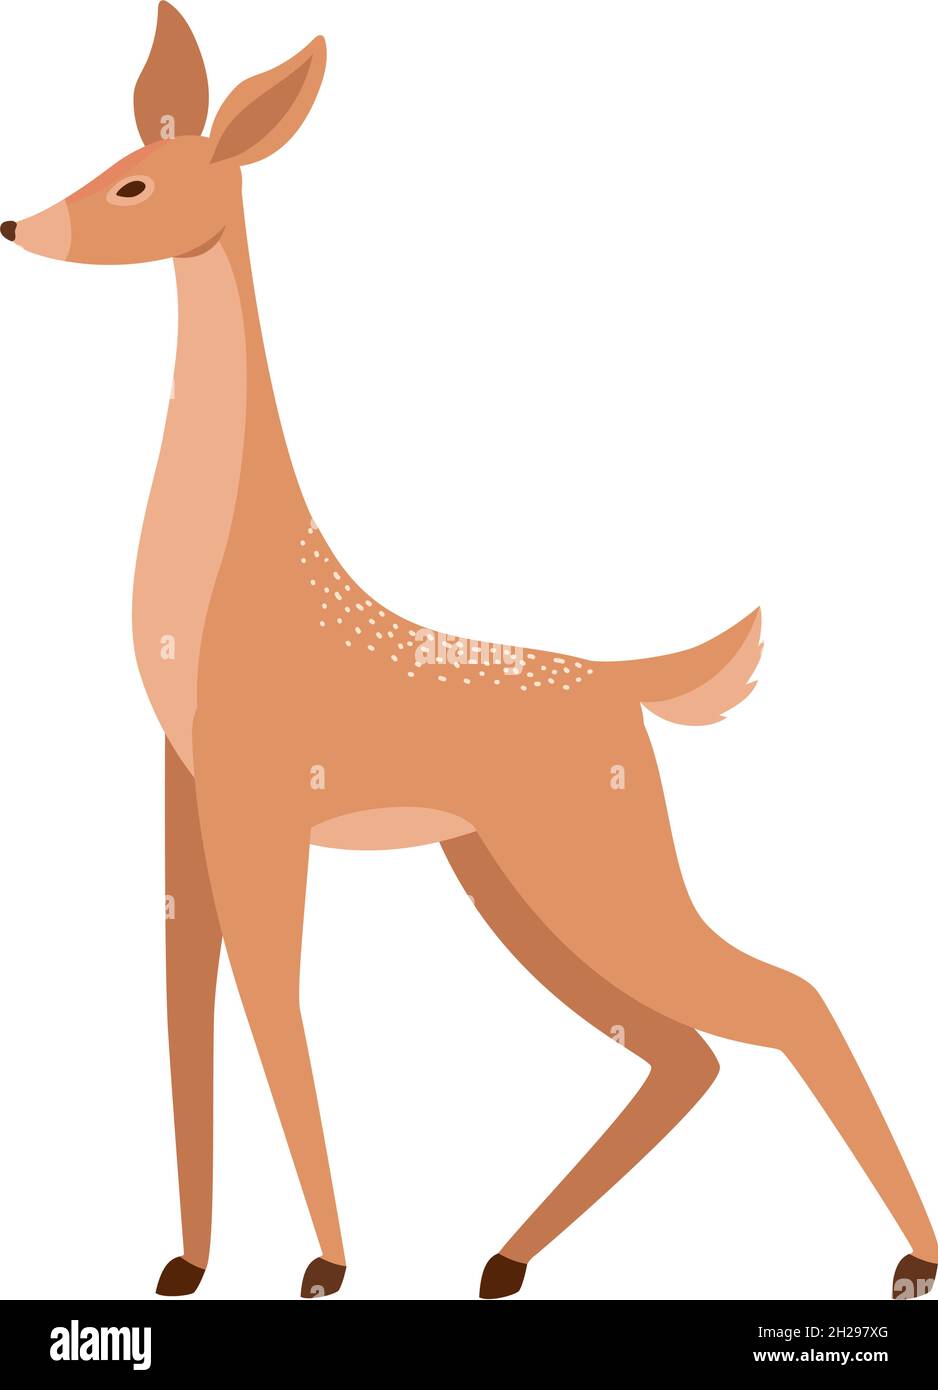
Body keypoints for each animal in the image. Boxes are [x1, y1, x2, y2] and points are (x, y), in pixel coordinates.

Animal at [3, 4, 934, 1302]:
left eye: (133, 183)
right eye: (105, 164)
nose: (19, 224)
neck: (224, 598)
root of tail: (636, 685)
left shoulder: (263, 808)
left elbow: (276, 1006)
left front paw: (324, 1261)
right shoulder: (186, 804)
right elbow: (189, 1016)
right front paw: (183, 1263)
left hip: (586, 859)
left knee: (781, 996)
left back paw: (908, 1256)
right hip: (504, 872)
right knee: (686, 1051)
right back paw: (500, 1257)